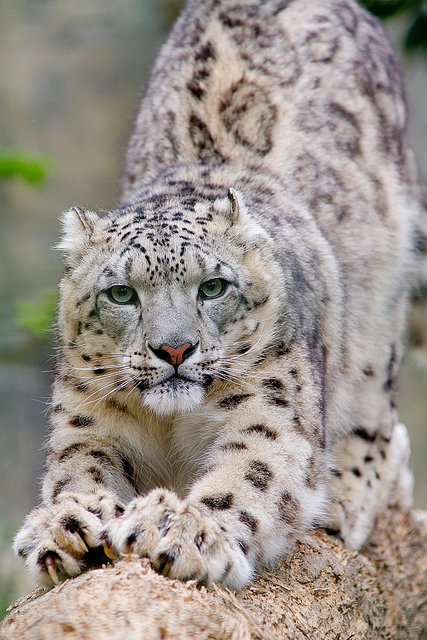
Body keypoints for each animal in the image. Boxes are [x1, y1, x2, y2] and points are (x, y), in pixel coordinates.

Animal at [14, 0, 426, 590]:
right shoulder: (88, 418)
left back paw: (344, 494)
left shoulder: (269, 410)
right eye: (122, 294)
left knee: (379, 412)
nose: (175, 349)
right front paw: (67, 525)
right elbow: (77, 469)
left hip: (382, 297)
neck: (172, 425)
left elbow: (250, 473)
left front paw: (181, 528)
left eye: (213, 287)